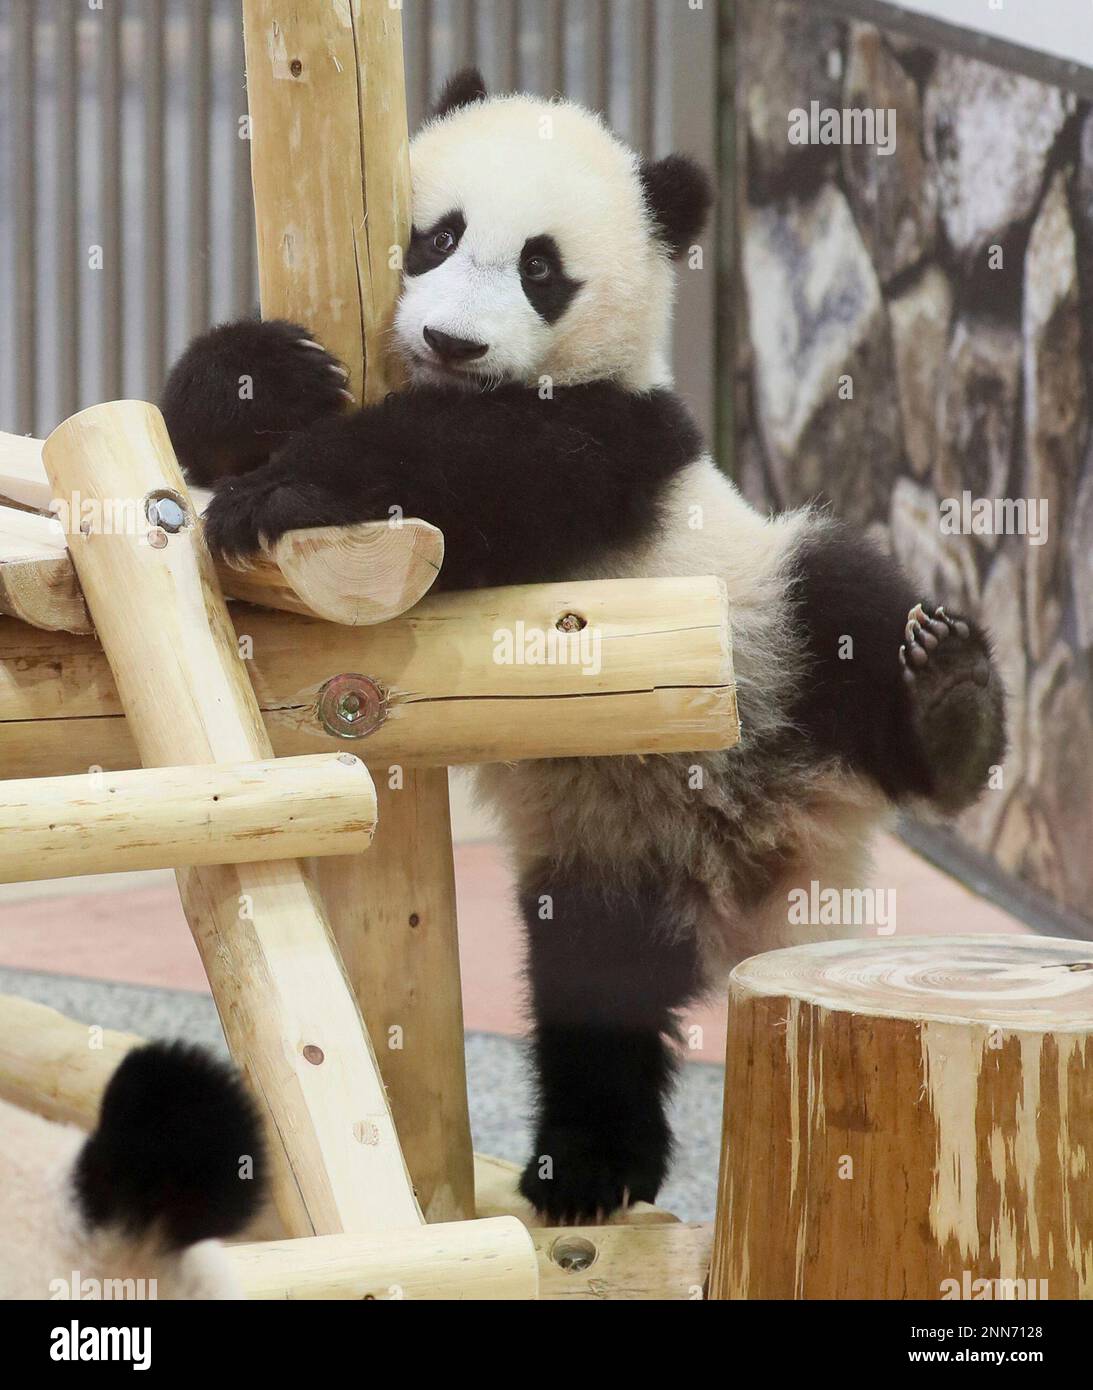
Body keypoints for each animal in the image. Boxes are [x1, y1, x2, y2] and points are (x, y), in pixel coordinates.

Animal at [161, 69, 1006, 1224]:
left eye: (541, 270)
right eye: (435, 236)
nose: (454, 344)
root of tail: (764, 858)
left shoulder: (624, 440)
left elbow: (478, 469)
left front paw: (282, 493)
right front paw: (264, 377)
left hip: (766, 617)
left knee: (850, 608)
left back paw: (951, 707)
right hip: (602, 858)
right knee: (590, 998)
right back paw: (590, 1168)